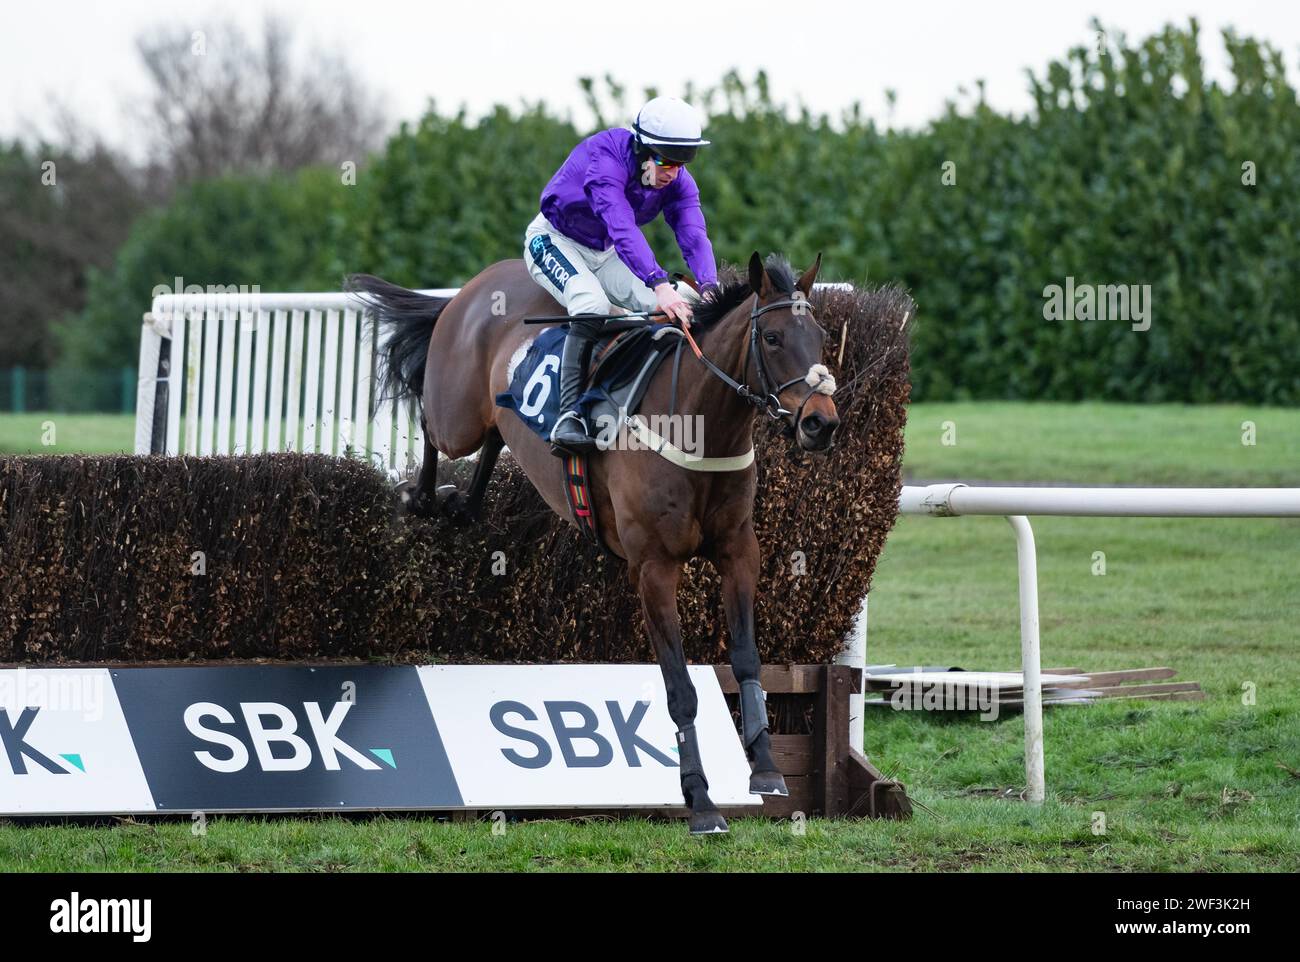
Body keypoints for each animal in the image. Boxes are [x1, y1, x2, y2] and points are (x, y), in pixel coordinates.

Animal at [348, 251, 840, 834]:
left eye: (821, 336)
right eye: (773, 337)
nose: (821, 423)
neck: (697, 425)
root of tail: (477, 283)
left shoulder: (739, 552)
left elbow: (747, 659)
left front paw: (764, 769)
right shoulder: (653, 566)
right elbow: (681, 690)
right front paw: (700, 801)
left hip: (493, 414)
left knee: (494, 436)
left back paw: (460, 505)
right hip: (456, 416)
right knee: (430, 416)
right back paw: (419, 496)